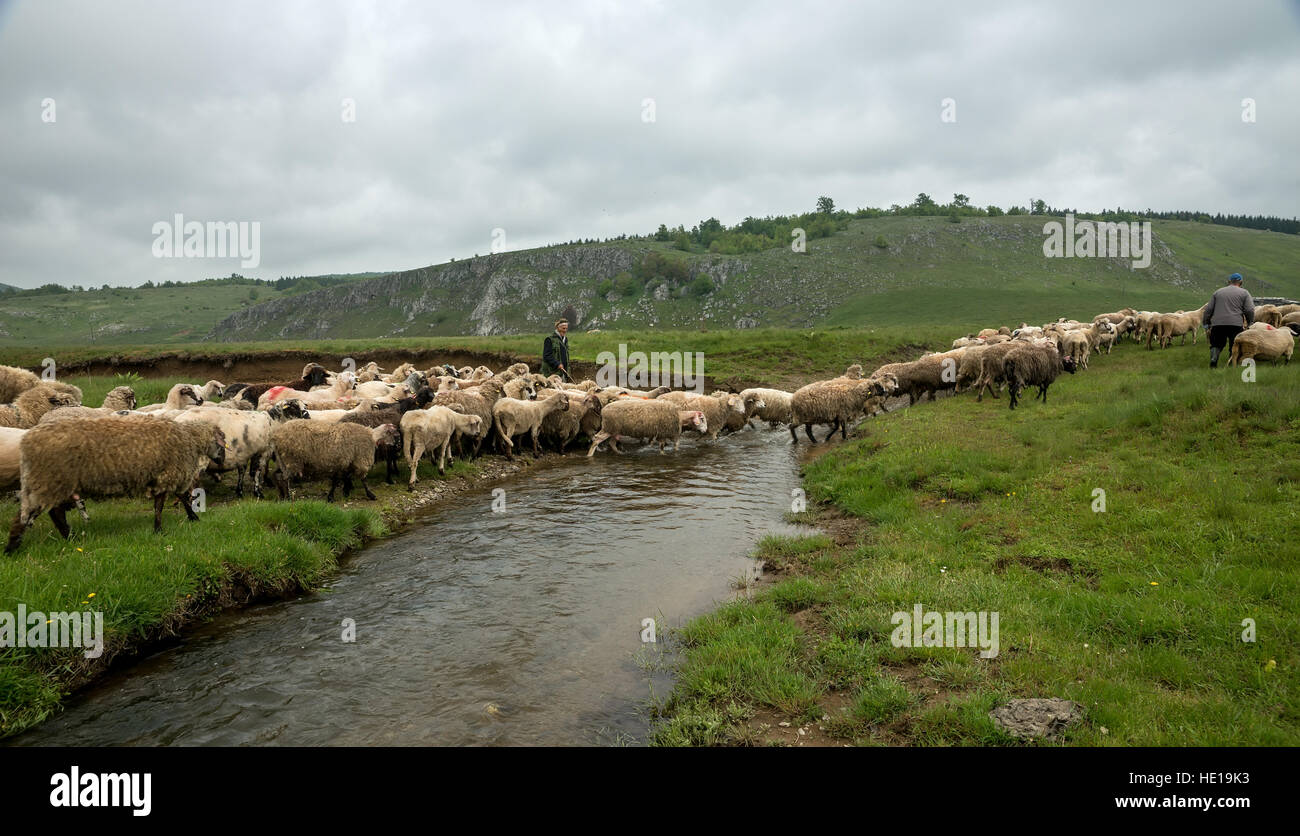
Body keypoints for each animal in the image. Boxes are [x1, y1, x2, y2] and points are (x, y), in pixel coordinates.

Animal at [5, 416, 226, 552]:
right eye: (222, 444)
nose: (222, 461)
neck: (191, 440)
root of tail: (26, 442)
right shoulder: (169, 475)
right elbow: (161, 505)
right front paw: (160, 529)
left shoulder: (165, 476)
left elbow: (178, 499)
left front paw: (192, 518)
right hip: (48, 481)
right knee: (31, 515)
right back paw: (12, 547)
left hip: (51, 483)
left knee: (52, 512)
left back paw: (68, 538)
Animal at [175, 400, 307, 499]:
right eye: (294, 406)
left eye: (304, 405)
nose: (307, 416)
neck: (273, 422)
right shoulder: (262, 452)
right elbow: (257, 472)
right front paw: (258, 493)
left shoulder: (244, 454)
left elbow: (242, 471)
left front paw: (239, 491)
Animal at [268, 420, 398, 502]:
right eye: (393, 434)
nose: (396, 444)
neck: (373, 436)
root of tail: (275, 436)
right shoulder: (359, 460)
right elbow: (362, 480)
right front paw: (371, 495)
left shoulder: (345, 463)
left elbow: (343, 478)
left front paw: (343, 493)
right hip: (292, 460)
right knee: (284, 478)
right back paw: (288, 497)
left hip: (282, 460)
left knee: (277, 475)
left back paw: (281, 495)